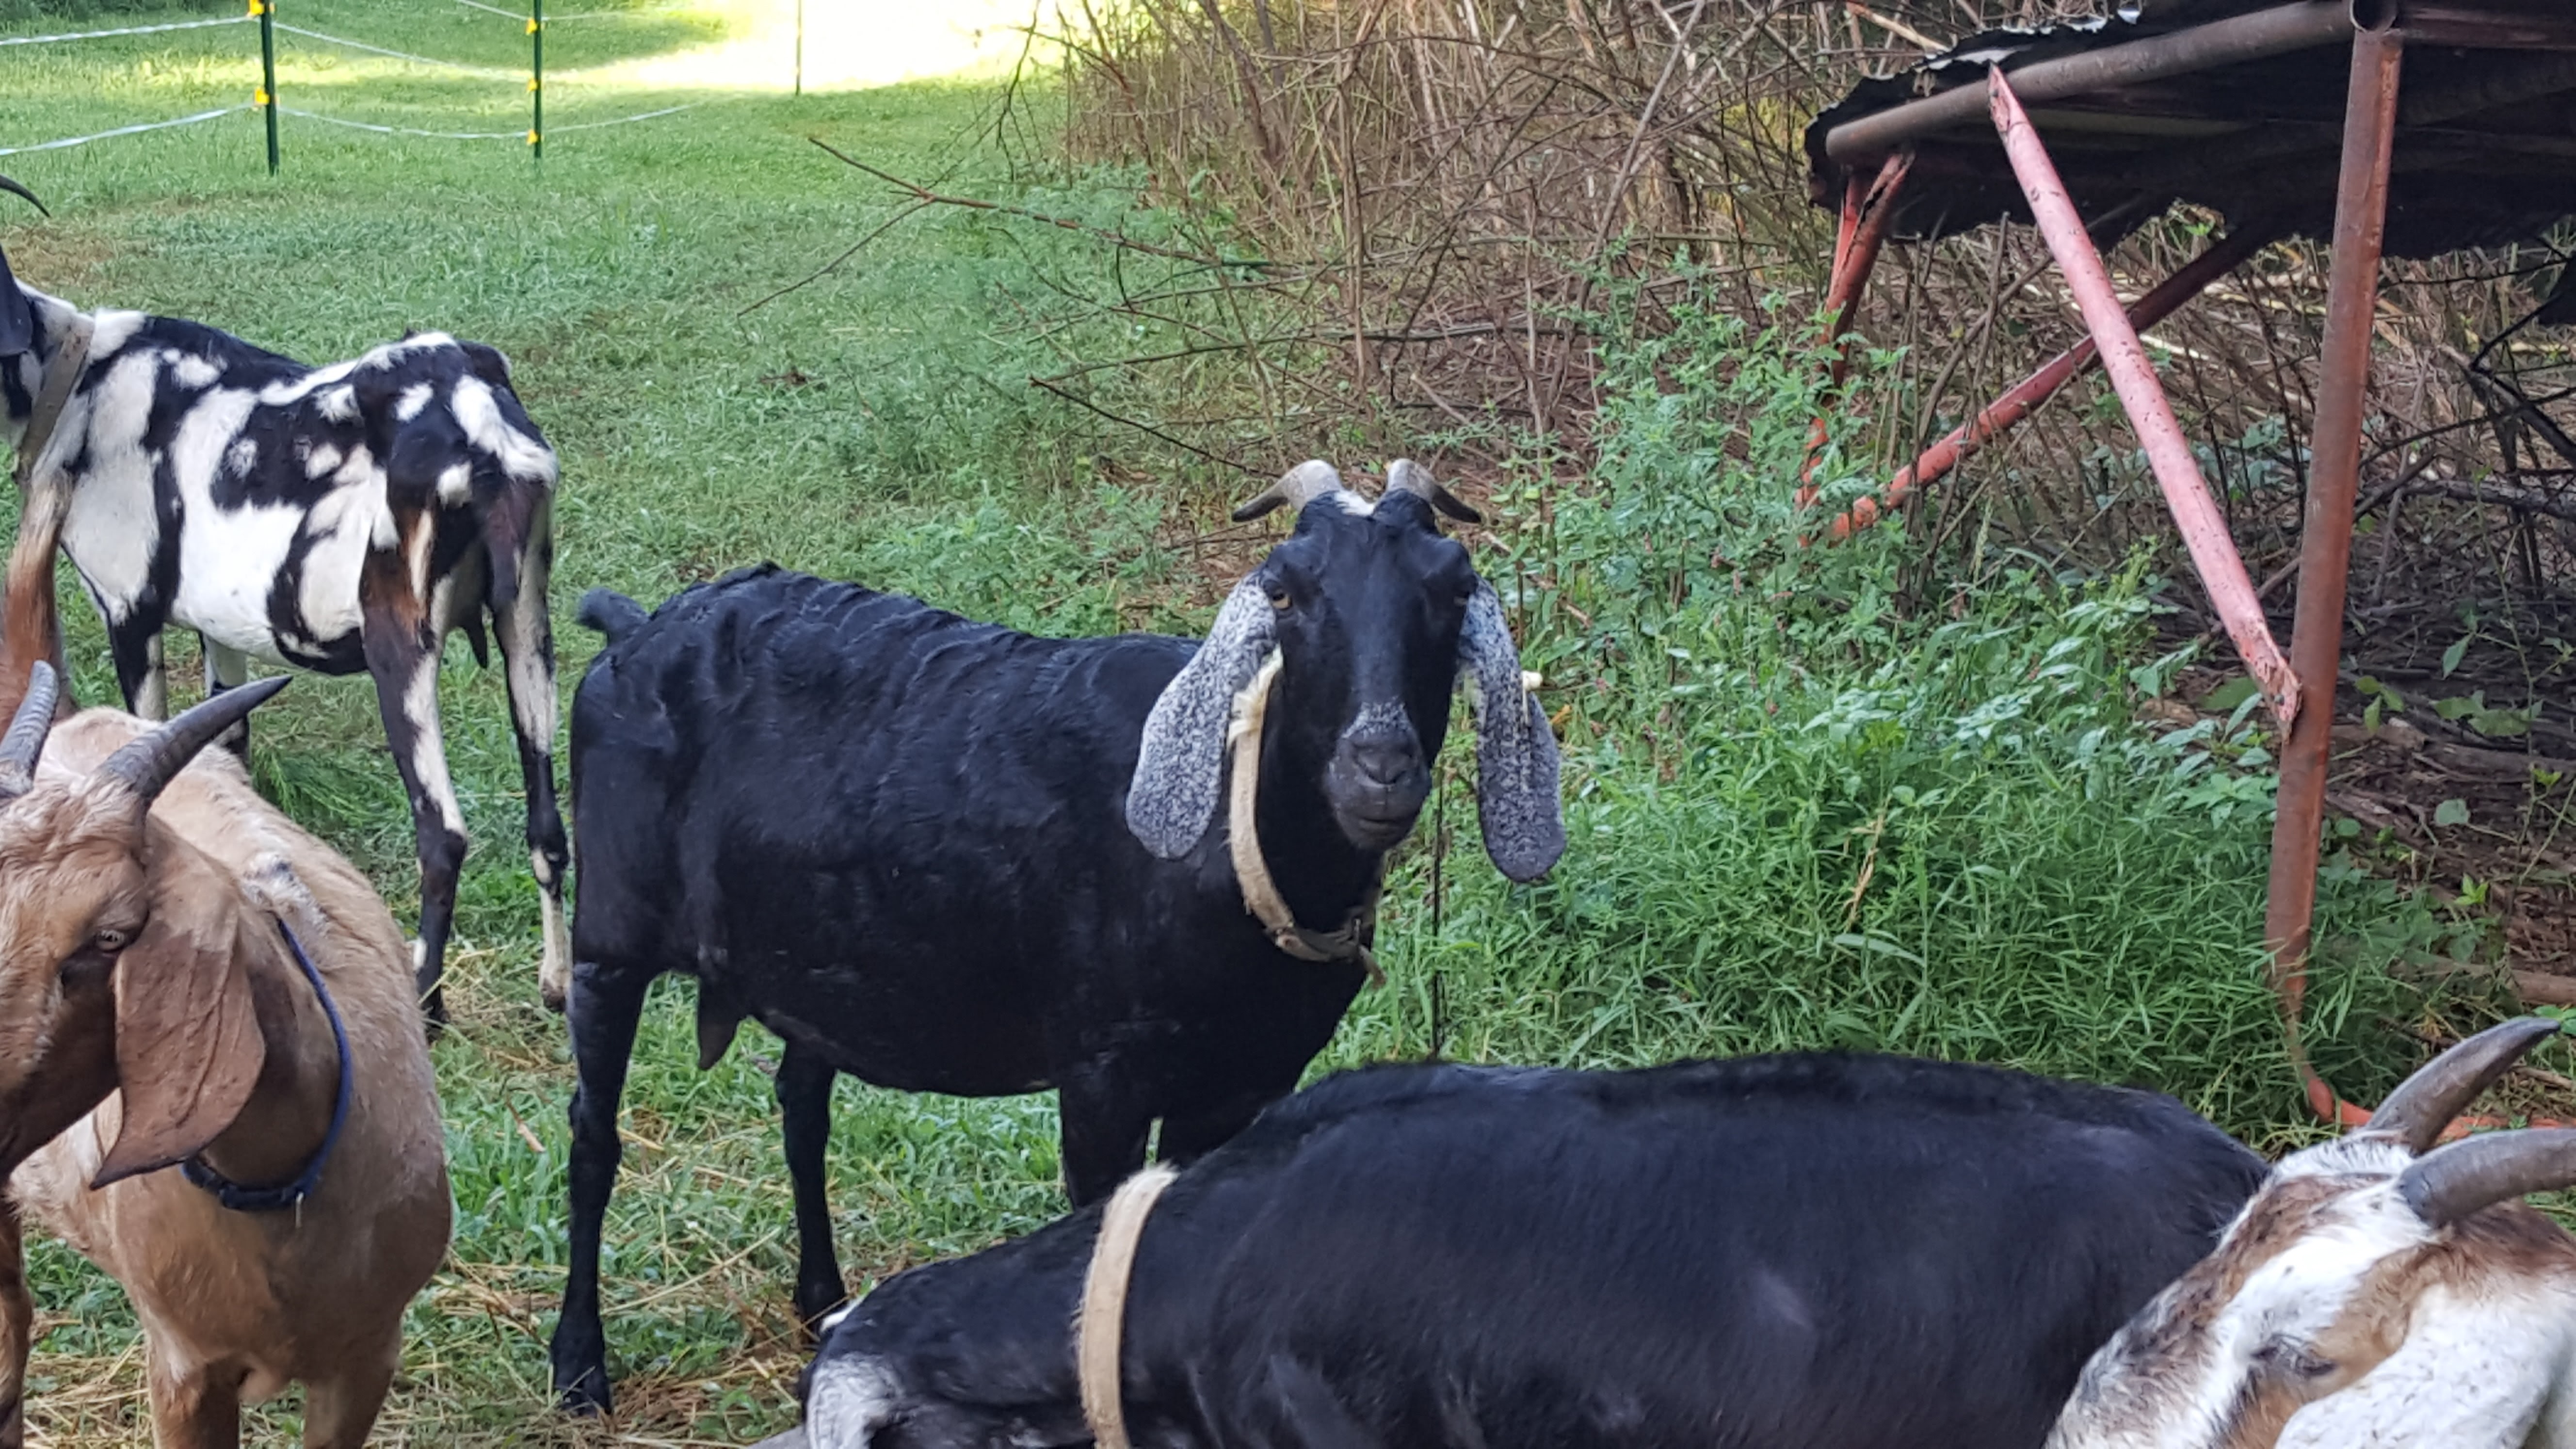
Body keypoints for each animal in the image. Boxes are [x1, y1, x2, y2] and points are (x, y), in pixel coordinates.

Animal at [0, 278, 567, 1021]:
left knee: (443, 833)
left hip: (401, 646)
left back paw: (426, 1005)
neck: (83, 381)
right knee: (549, 826)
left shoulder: (129, 616)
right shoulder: (220, 637)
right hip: (526, 622)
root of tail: (483, 434)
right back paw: (557, 985)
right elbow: (225, 761)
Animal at [547, 460, 1565, 1412]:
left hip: (815, 962)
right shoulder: (1101, 1074)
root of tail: (637, 629)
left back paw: (822, 1301)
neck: (1232, 838)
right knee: (594, 1137)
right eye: (1282, 588)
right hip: (609, 939)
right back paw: (579, 1366)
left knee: (802, 1105)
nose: (1378, 768)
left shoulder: (1247, 1081)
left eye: (1453, 585)